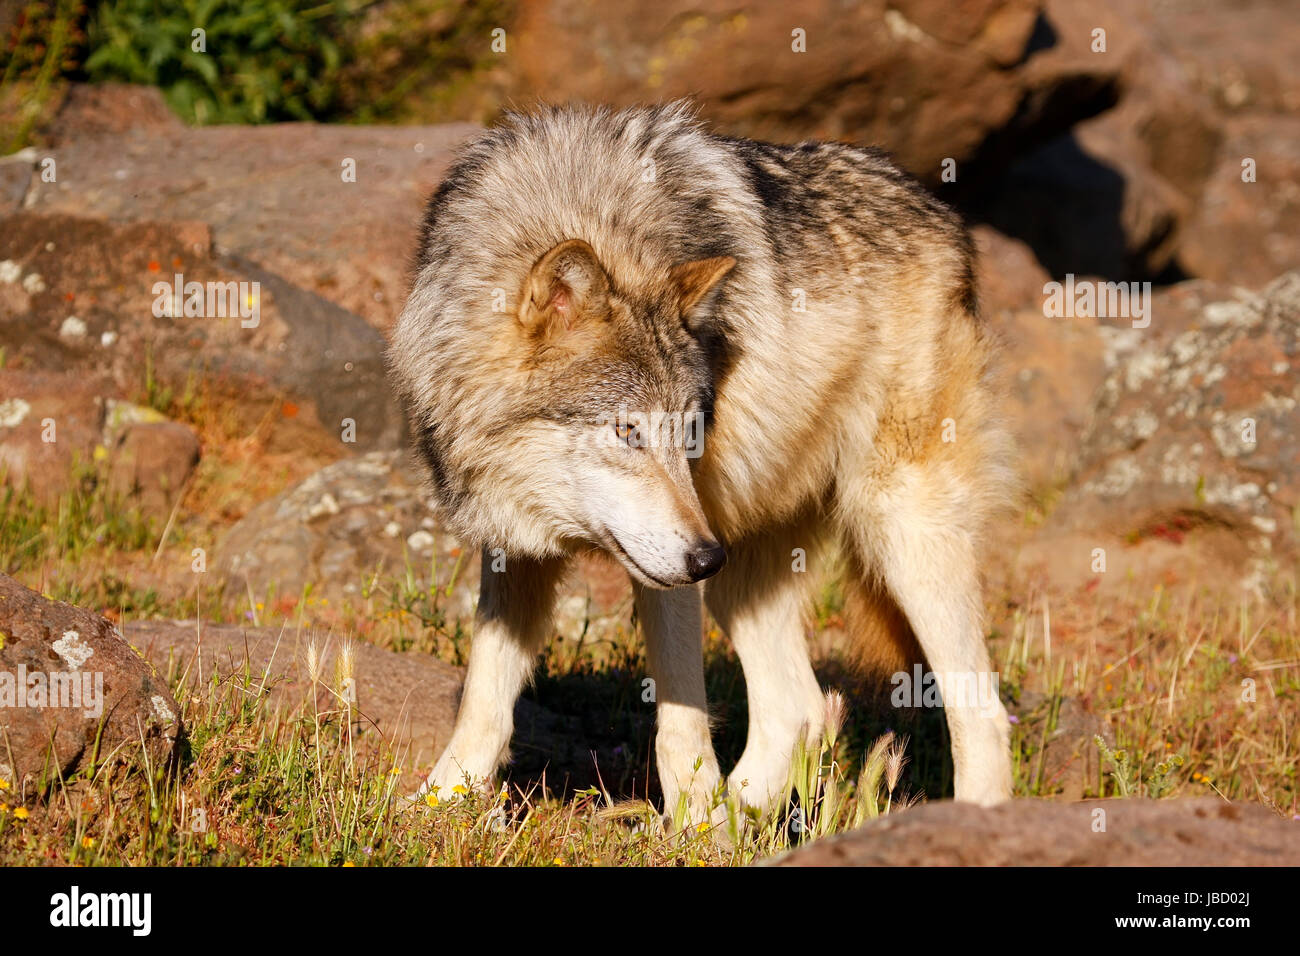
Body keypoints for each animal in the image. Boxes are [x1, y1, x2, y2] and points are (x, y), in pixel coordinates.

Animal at [388, 102, 1014, 825]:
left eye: (692, 428)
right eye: (627, 431)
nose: (704, 556)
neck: (585, 210)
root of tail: (947, 220)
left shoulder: (666, 572)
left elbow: (680, 721)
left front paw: (694, 825)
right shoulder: (516, 548)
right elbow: (483, 699)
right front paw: (435, 805)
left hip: (896, 533)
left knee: (981, 714)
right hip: (743, 577)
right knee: (802, 710)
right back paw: (742, 824)